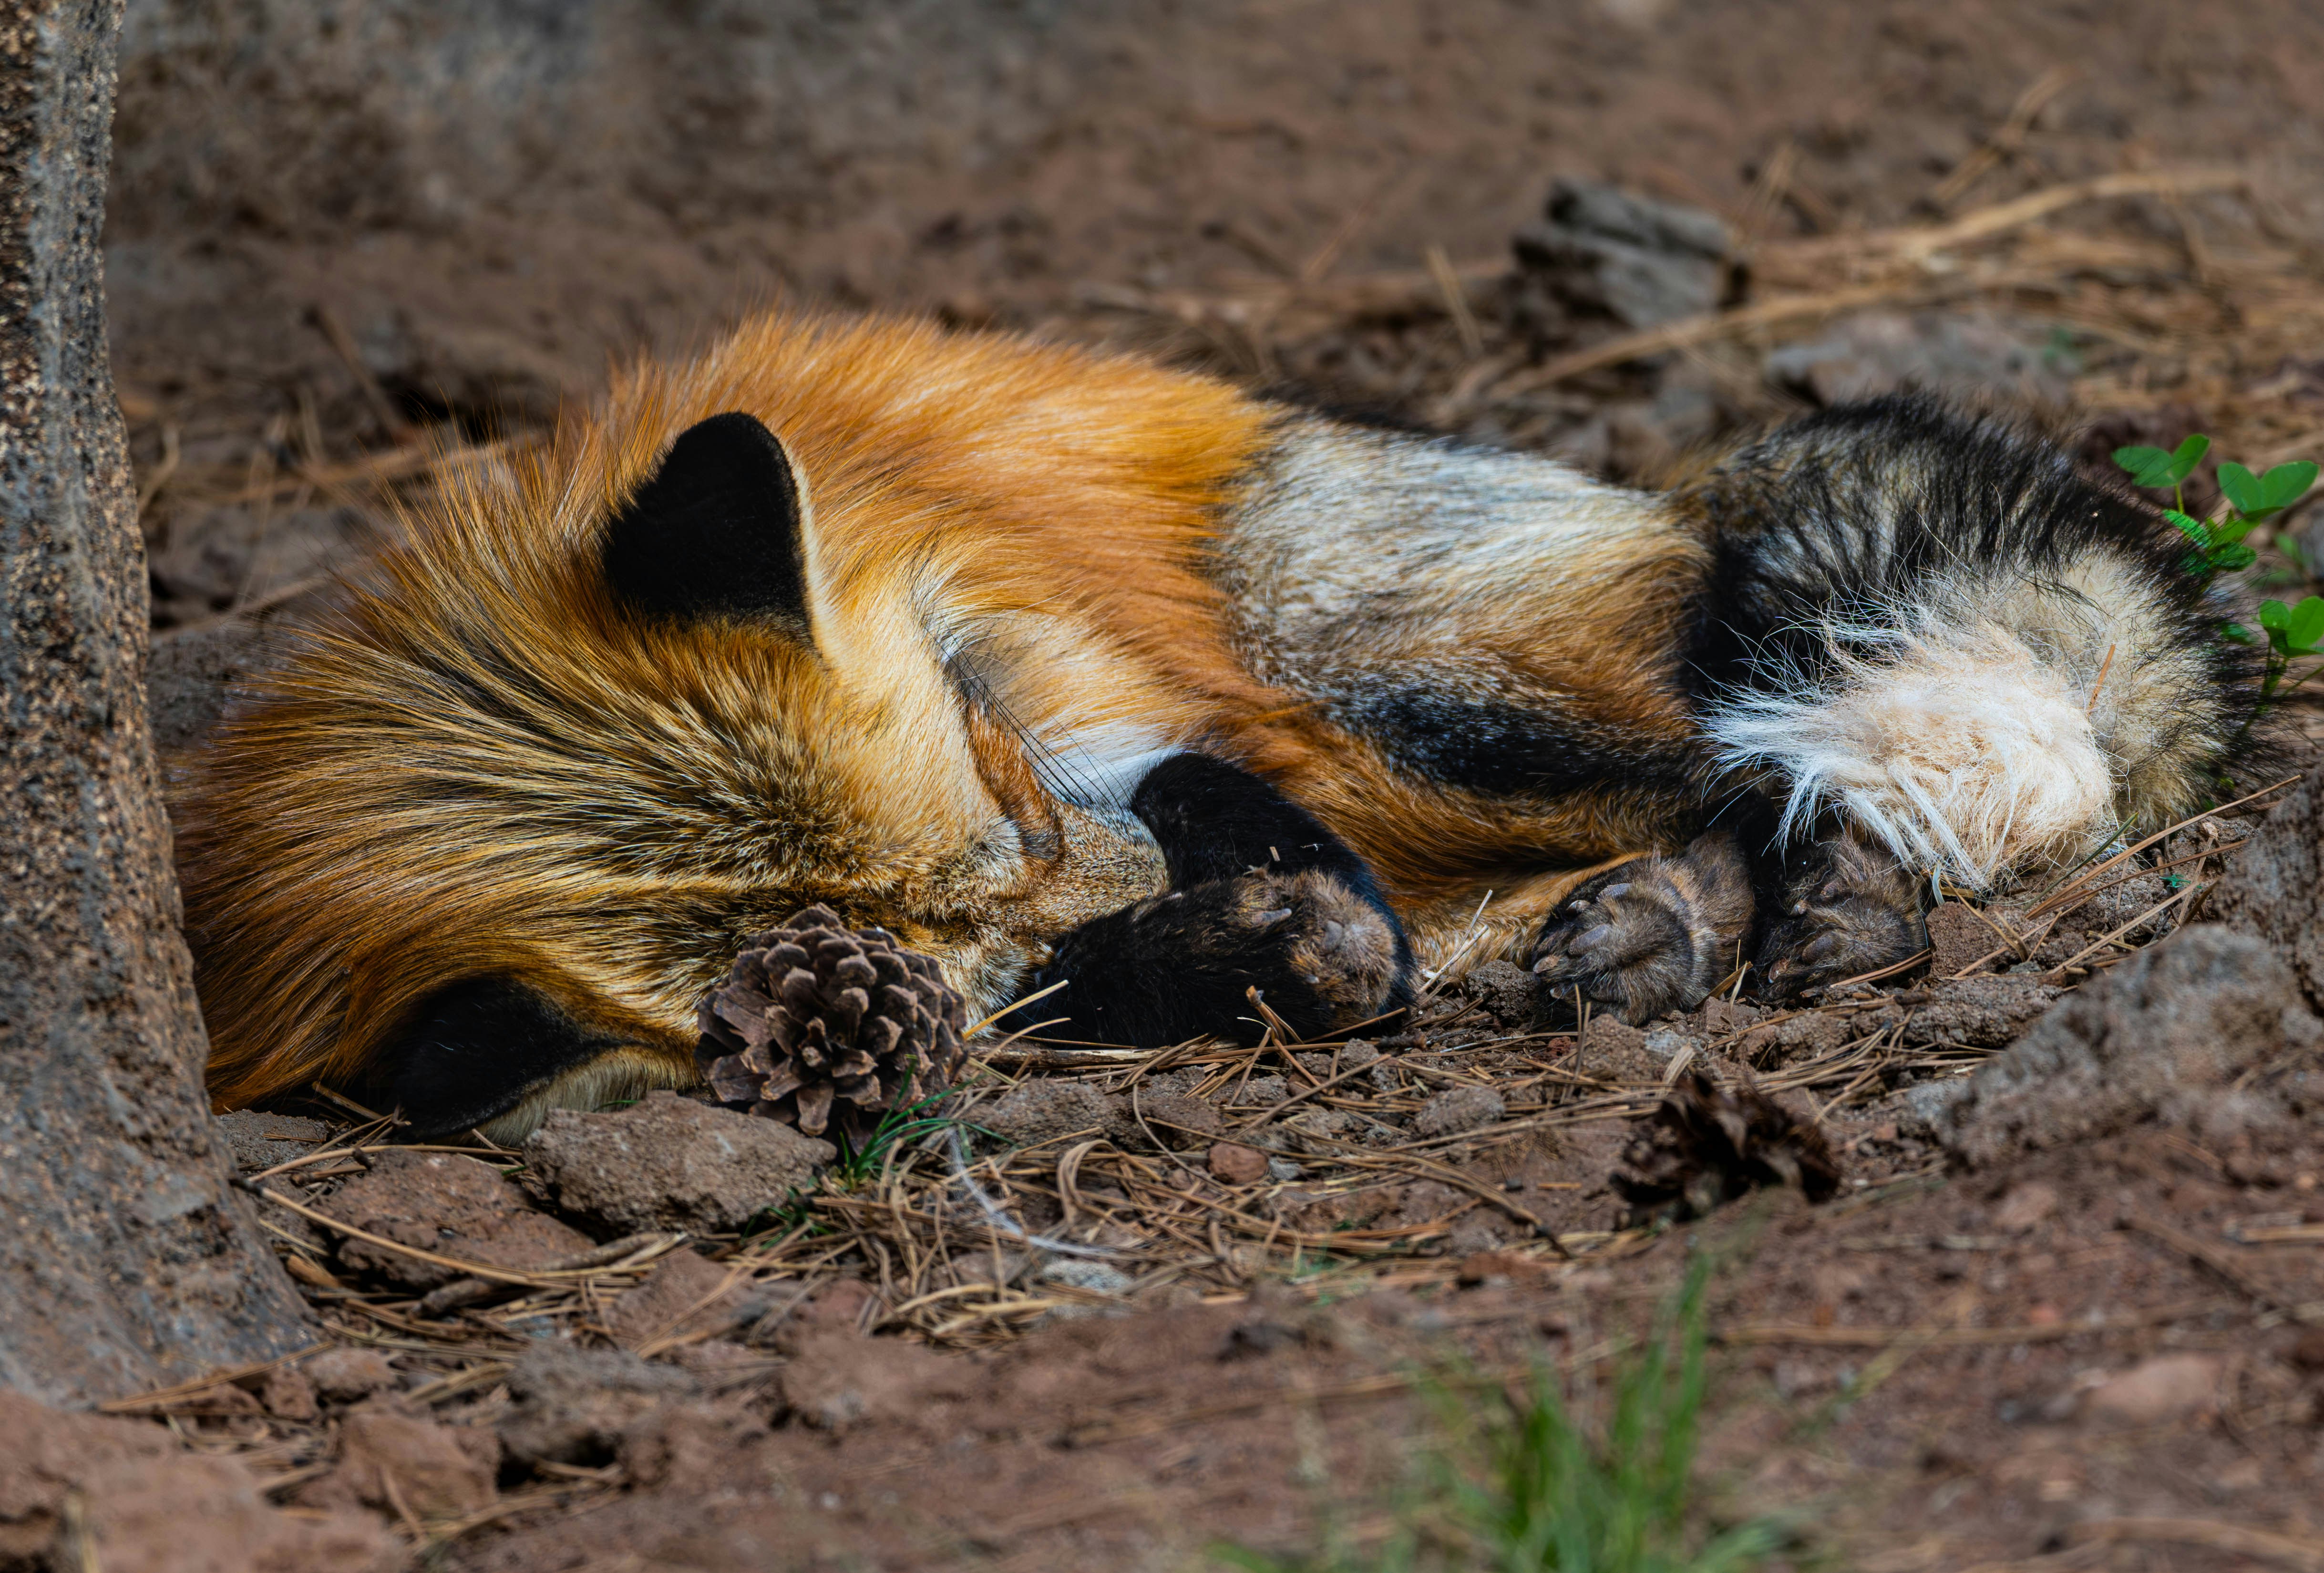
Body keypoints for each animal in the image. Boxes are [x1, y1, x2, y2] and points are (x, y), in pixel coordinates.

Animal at [177, 310, 2265, 1141]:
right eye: (953, 974)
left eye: (1001, 773)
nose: (1124, 874)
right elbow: (1228, 952)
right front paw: (1255, 951)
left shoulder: (1110, 711)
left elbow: (1224, 804)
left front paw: (1278, 928)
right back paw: (1636, 934)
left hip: (1394, 696)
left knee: (1745, 767)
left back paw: (1826, 901)